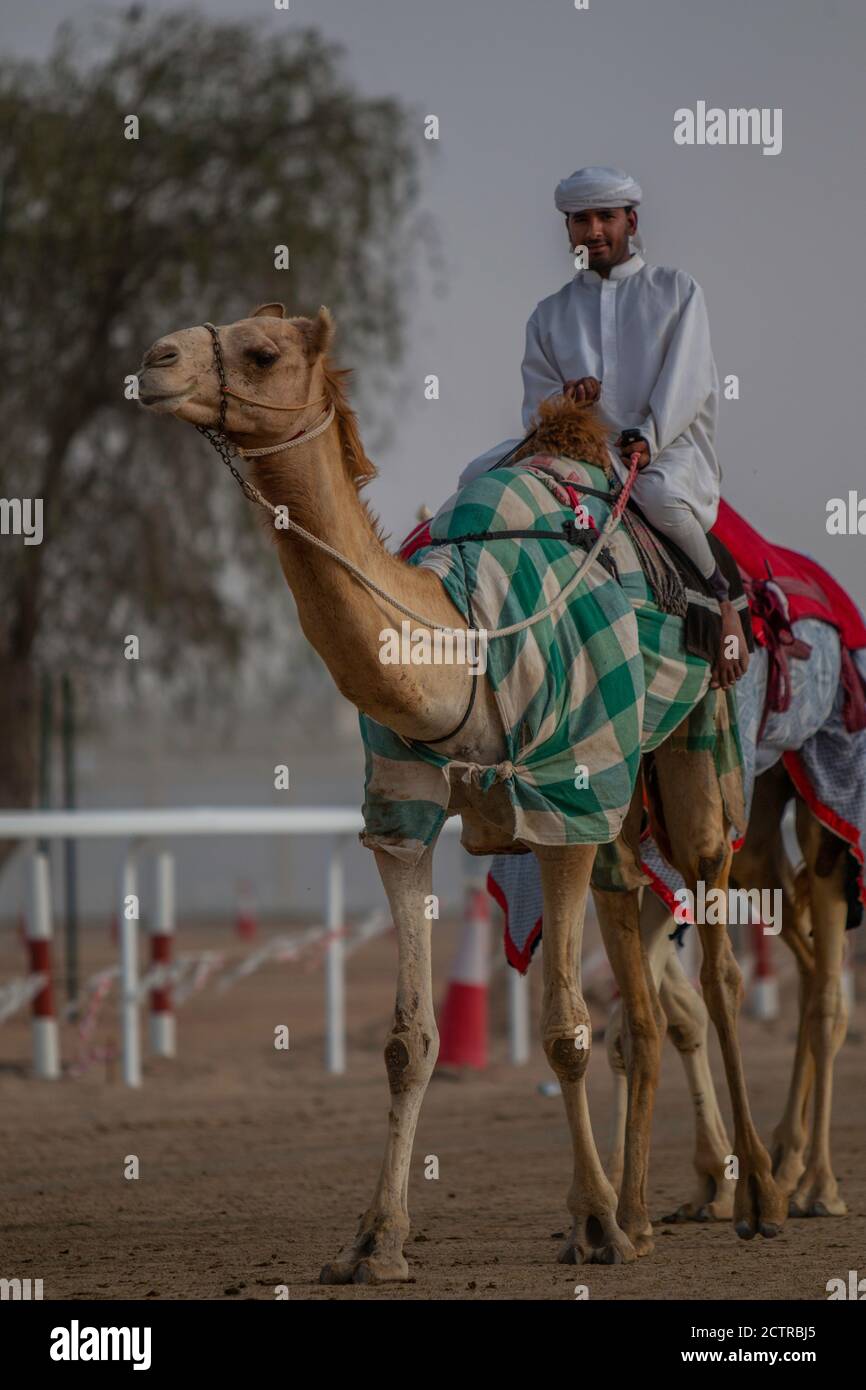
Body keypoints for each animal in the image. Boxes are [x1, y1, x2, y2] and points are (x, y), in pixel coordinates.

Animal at [137, 302, 785, 1281]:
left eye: (262, 351)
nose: (155, 360)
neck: (464, 647)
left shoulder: (561, 799)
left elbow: (562, 1030)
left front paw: (591, 1224)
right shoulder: (402, 814)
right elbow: (410, 1042)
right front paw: (375, 1241)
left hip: (696, 765)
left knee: (713, 972)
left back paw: (755, 1200)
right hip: (621, 815)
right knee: (641, 999)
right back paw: (643, 1210)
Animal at [606, 762, 851, 1222]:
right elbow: (663, 1012)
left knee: (827, 994)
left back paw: (817, 1186)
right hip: (756, 837)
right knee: (810, 964)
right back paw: (786, 1161)